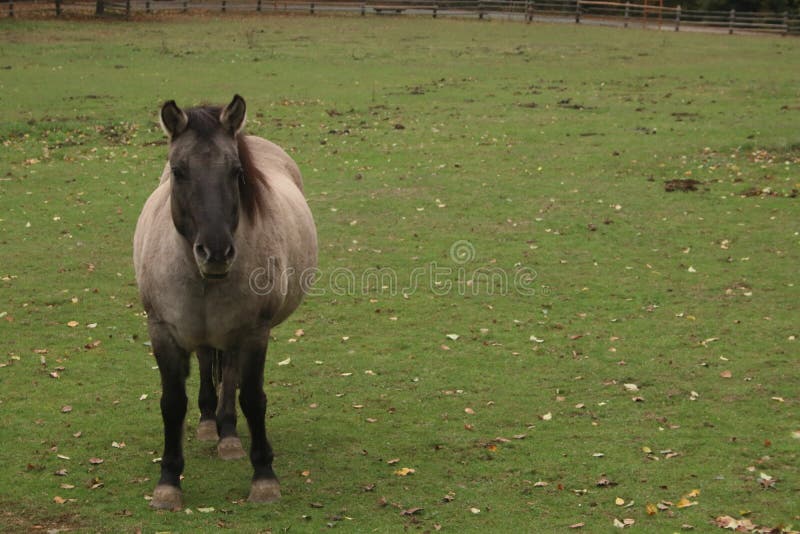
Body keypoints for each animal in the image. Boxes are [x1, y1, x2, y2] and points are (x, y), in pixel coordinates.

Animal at [133, 95, 317, 510]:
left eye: (235, 171)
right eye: (178, 171)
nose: (215, 252)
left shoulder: (252, 332)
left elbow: (252, 398)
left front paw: (264, 477)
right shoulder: (162, 333)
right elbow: (172, 403)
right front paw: (168, 483)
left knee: (229, 373)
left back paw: (229, 434)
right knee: (207, 361)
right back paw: (208, 423)